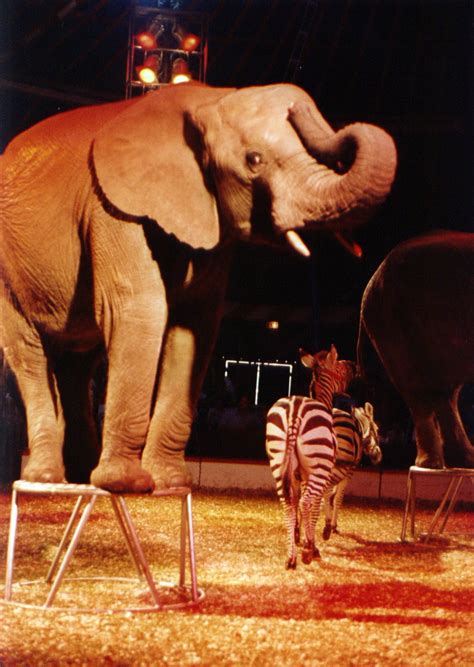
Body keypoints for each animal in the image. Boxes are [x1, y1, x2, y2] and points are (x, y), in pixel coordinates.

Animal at [0, 81, 397, 493]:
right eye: (254, 159)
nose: (298, 108)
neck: (210, 99)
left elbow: (195, 325)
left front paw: (171, 483)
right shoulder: (111, 208)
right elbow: (143, 310)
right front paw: (126, 484)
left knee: (77, 364)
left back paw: (79, 478)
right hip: (8, 269)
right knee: (28, 352)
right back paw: (45, 478)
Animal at [266, 345, 356, 569]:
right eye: (339, 365)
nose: (354, 366)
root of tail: (295, 410)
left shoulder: (298, 475)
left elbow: (296, 501)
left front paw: (299, 538)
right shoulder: (319, 474)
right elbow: (315, 506)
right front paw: (311, 545)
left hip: (277, 463)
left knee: (287, 504)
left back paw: (291, 558)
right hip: (318, 467)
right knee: (306, 503)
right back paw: (305, 554)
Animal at [322, 401, 382, 540]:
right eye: (376, 429)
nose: (378, 456)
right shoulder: (348, 471)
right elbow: (338, 498)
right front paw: (334, 526)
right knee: (327, 491)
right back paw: (327, 527)